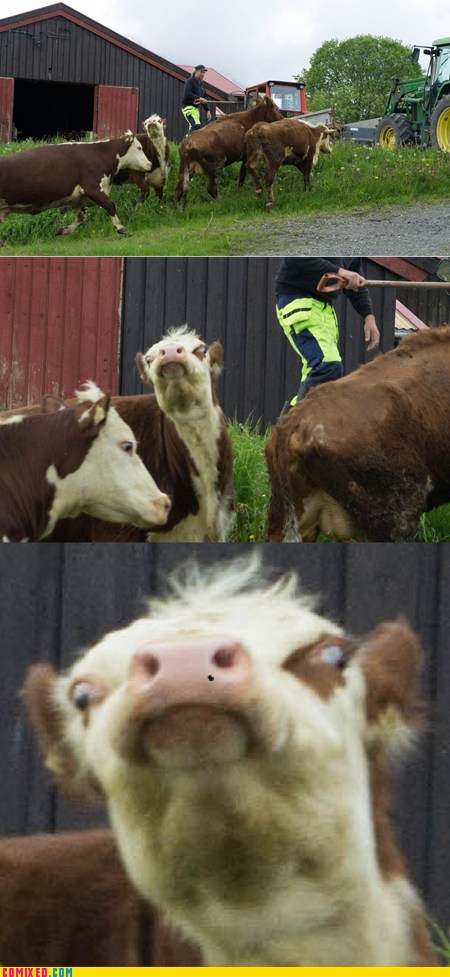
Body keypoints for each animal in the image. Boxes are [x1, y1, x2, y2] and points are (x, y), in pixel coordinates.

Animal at [0, 132, 152, 238]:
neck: (99, 155)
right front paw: (121, 228)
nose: (150, 164)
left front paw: (63, 230)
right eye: (139, 148)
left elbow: (81, 217)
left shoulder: (76, 198)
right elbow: (110, 205)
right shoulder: (93, 187)